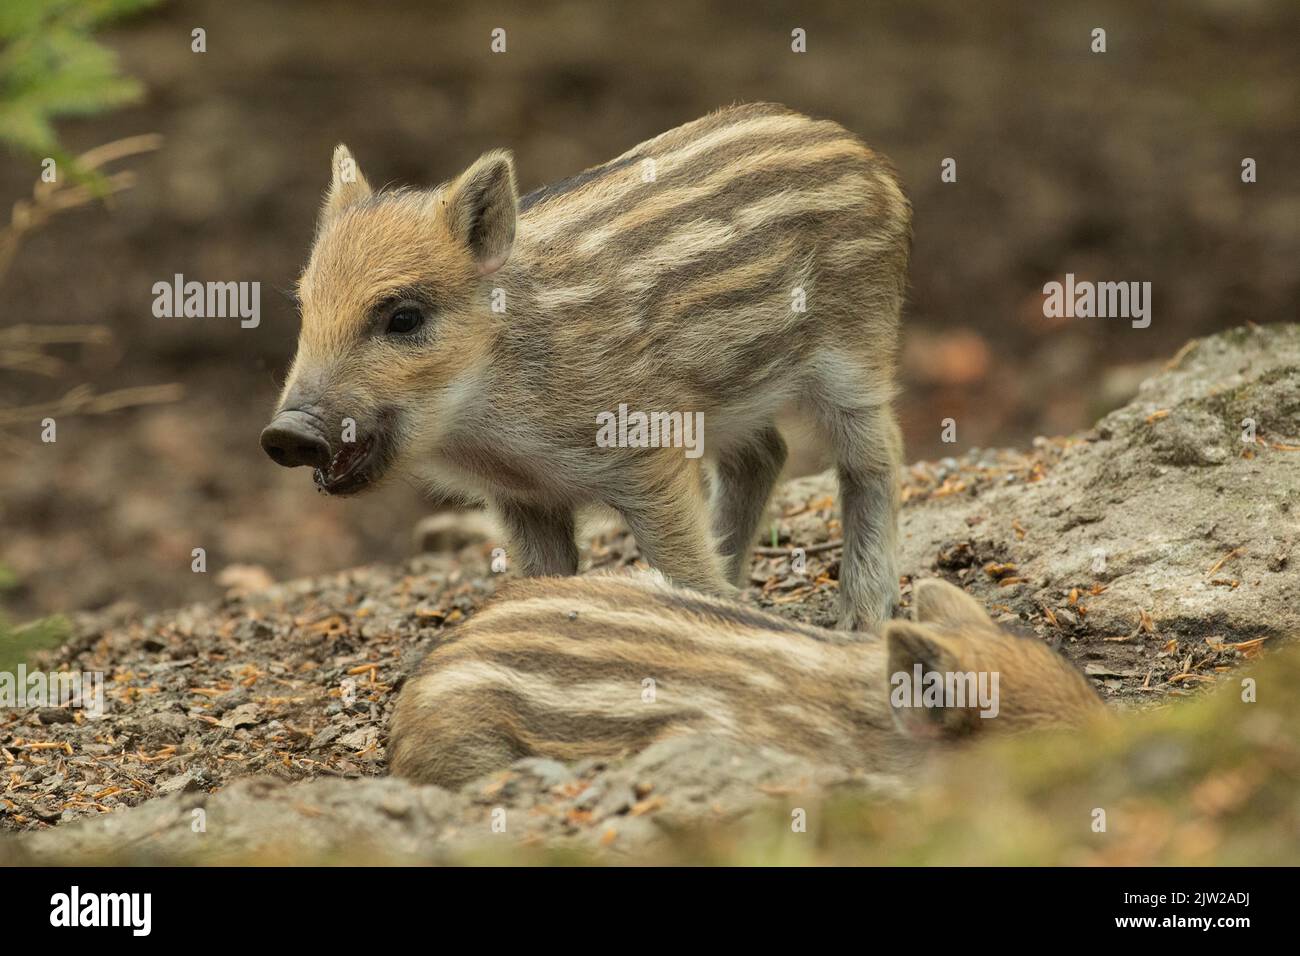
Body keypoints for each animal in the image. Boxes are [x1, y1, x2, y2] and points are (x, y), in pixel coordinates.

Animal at [261, 103, 911, 627]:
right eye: (305, 306)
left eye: (403, 317)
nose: (286, 433)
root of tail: (864, 153)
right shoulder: (523, 498)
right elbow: (545, 578)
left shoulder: (647, 452)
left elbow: (682, 564)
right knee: (765, 455)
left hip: (857, 347)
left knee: (873, 458)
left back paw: (861, 617)